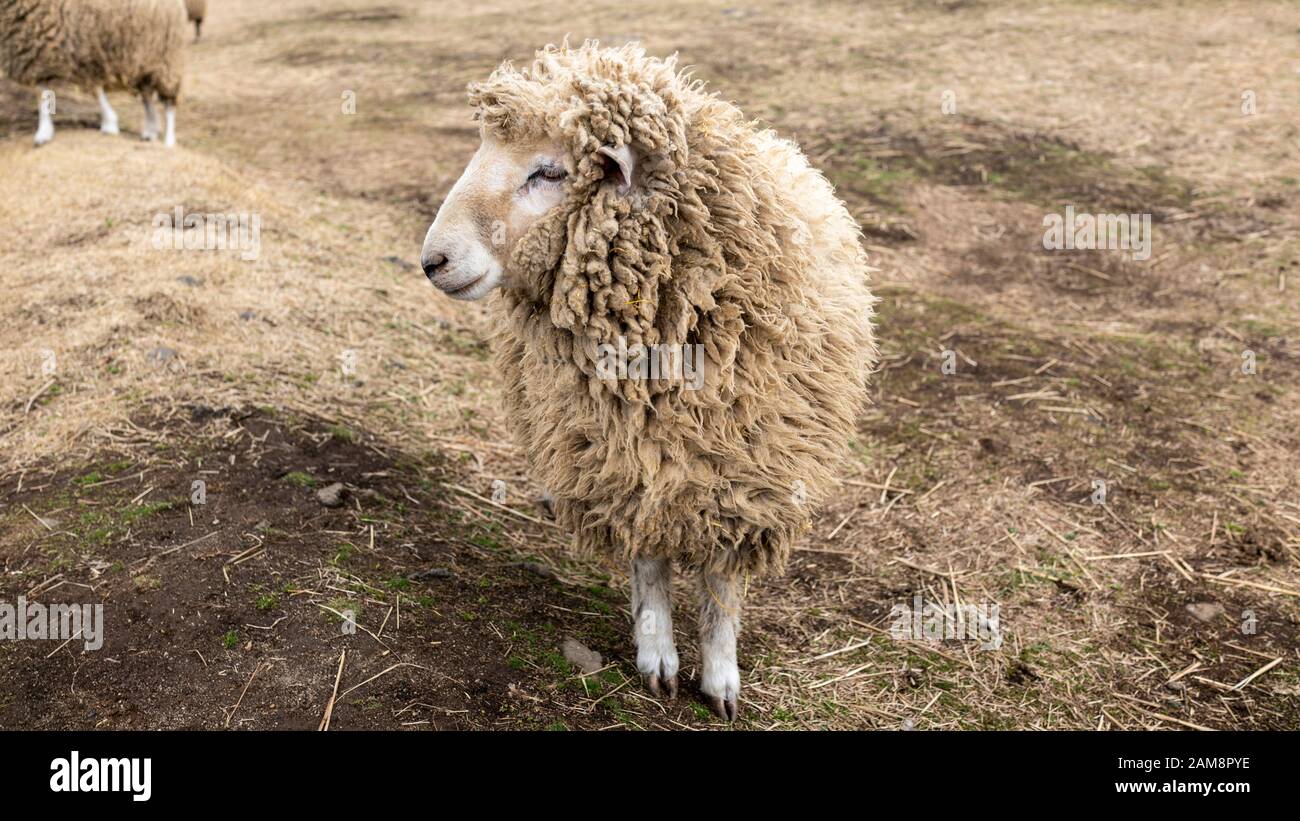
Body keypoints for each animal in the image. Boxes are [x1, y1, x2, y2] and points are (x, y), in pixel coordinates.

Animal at [0, 0, 186, 147]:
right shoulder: (38, 55)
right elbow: (42, 94)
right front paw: (44, 133)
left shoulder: (85, 51)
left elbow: (95, 91)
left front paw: (109, 124)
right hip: (143, 63)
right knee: (147, 98)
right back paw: (150, 131)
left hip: (166, 57)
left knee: (169, 102)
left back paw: (169, 141)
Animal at [419, 42, 878, 720]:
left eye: (549, 172)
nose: (433, 262)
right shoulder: (621, 452)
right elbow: (649, 563)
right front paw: (657, 656)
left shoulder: (749, 471)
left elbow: (721, 583)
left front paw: (720, 679)